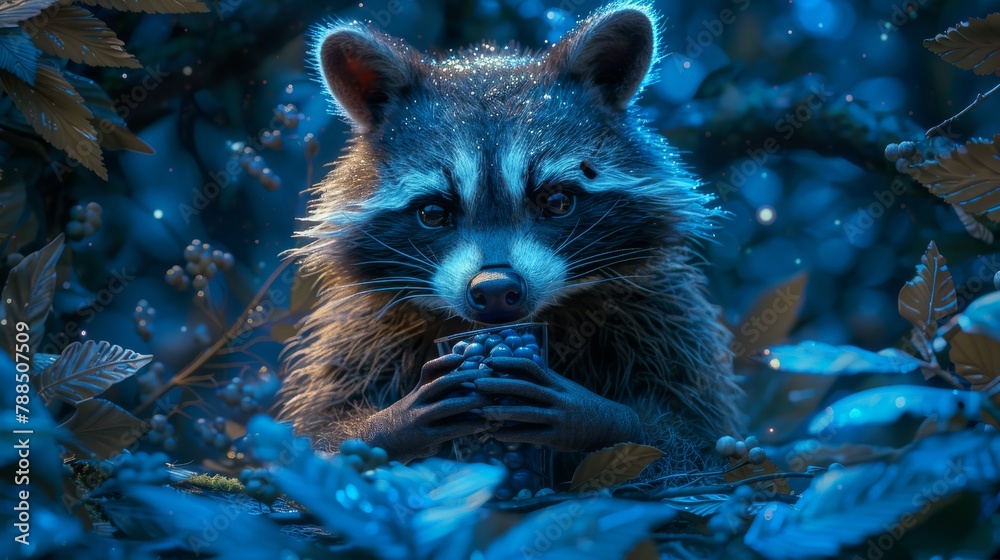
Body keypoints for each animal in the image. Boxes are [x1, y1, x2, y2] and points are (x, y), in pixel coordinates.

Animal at [280, 3, 743, 475]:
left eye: (556, 201)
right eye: (434, 213)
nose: (495, 289)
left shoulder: (659, 307)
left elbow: (693, 437)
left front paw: (600, 416)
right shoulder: (367, 327)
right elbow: (317, 434)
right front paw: (389, 423)